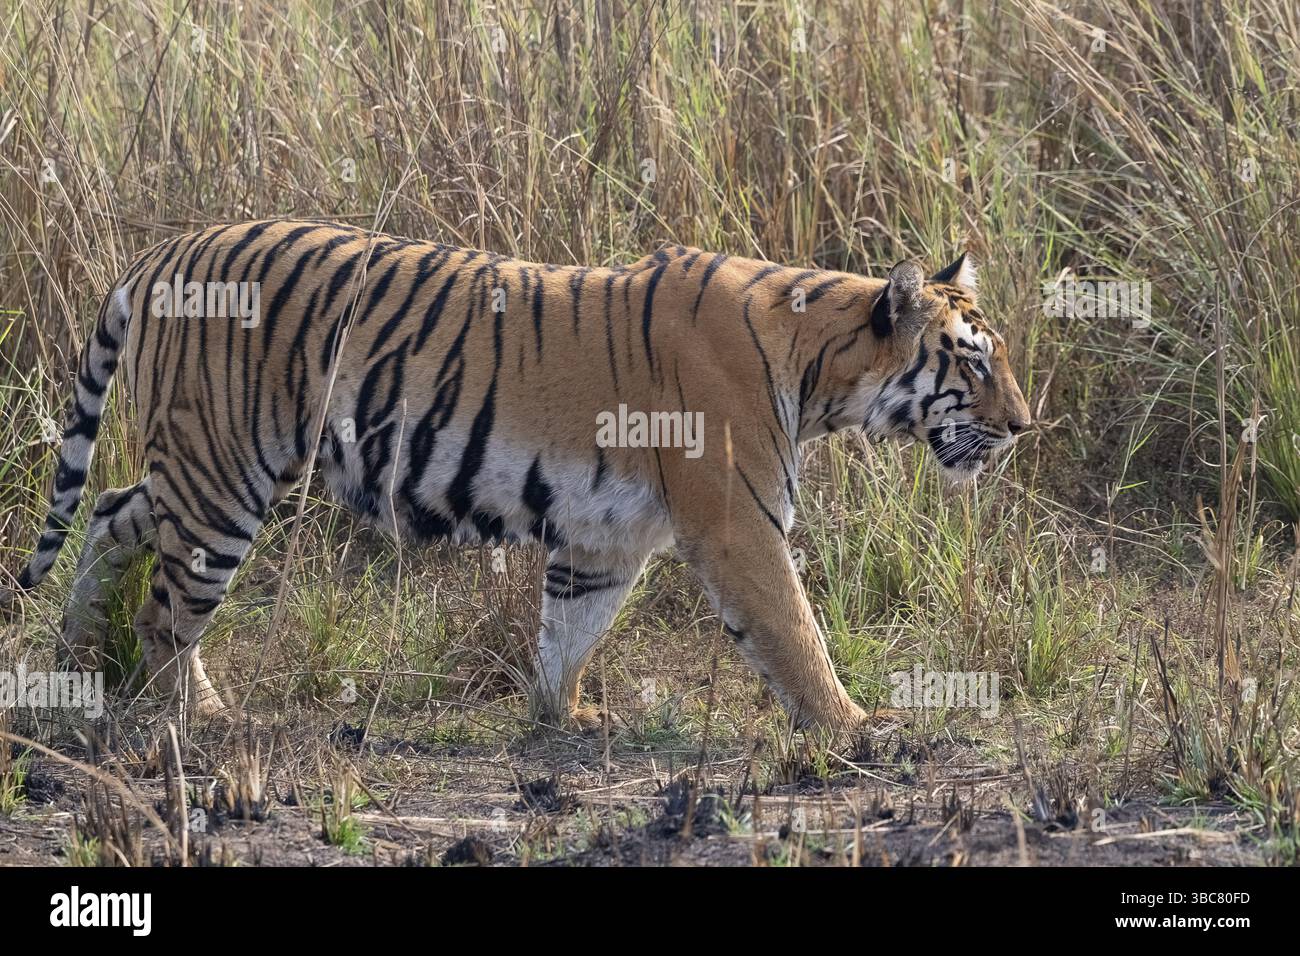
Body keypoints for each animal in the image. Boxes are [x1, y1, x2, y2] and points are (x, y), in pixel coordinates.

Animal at [3, 219, 1030, 733]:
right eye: (973, 362)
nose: (1024, 428)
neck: (820, 368)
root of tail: (163, 251)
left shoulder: (606, 534)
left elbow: (570, 630)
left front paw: (564, 715)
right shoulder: (738, 523)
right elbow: (793, 631)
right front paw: (853, 727)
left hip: (197, 468)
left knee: (110, 512)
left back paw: (75, 665)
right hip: (224, 475)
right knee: (166, 612)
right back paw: (195, 720)